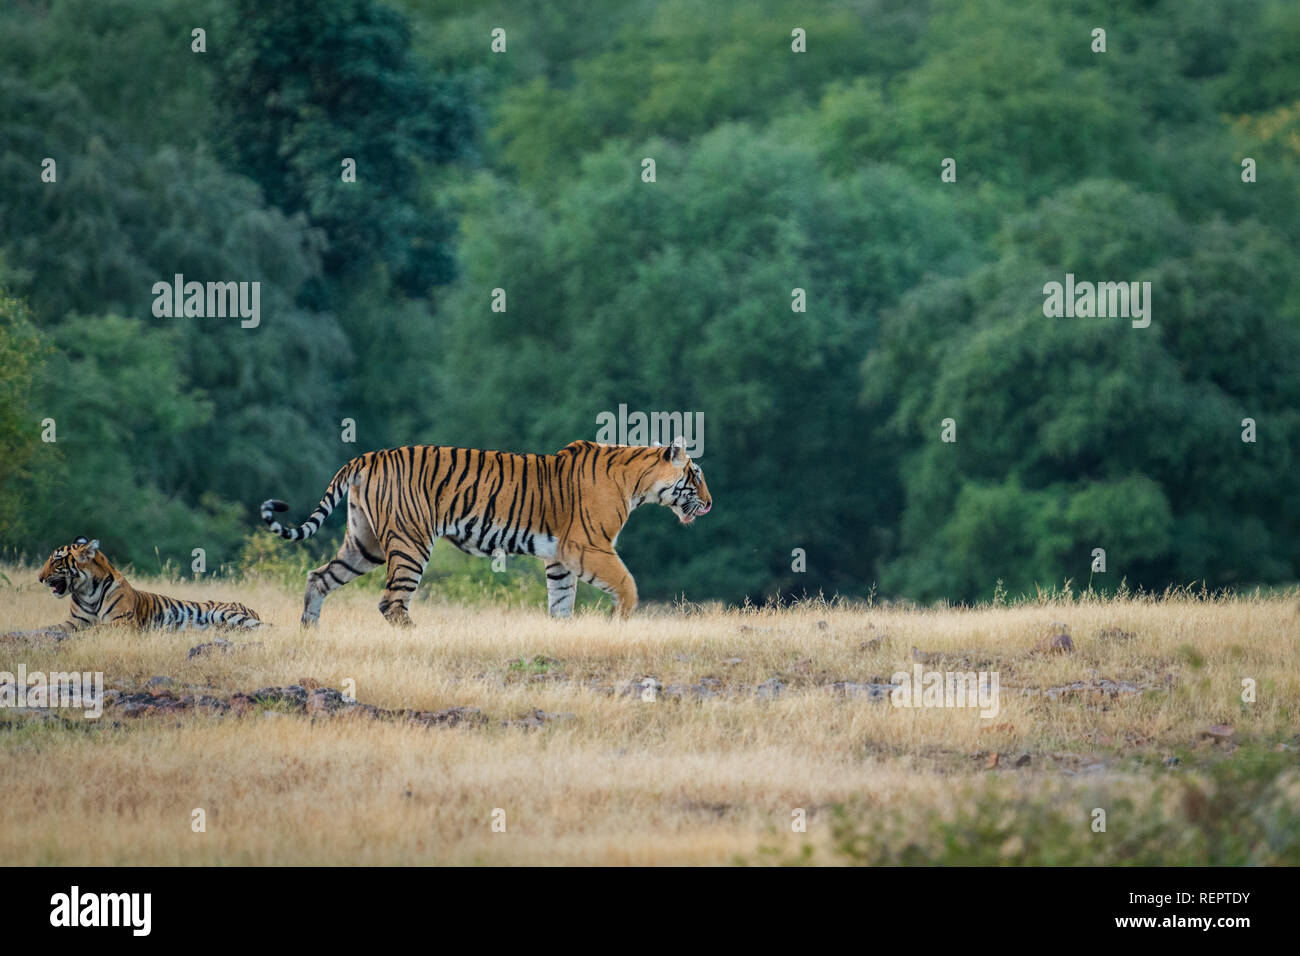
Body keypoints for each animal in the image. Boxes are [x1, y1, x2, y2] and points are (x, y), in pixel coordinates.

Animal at [37, 537, 264, 632]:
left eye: (56, 560)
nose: (39, 577)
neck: (87, 592)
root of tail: (252, 609)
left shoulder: (123, 621)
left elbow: (95, 628)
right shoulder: (75, 621)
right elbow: (50, 628)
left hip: (223, 613)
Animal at [260, 437, 712, 627]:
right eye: (696, 475)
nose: (710, 504)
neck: (639, 482)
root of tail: (369, 455)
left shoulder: (560, 558)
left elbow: (561, 603)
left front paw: (563, 634)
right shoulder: (588, 547)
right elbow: (628, 584)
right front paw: (621, 622)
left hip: (365, 543)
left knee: (319, 577)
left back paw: (309, 632)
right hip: (410, 542)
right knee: (392, 601)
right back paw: (418, 637)